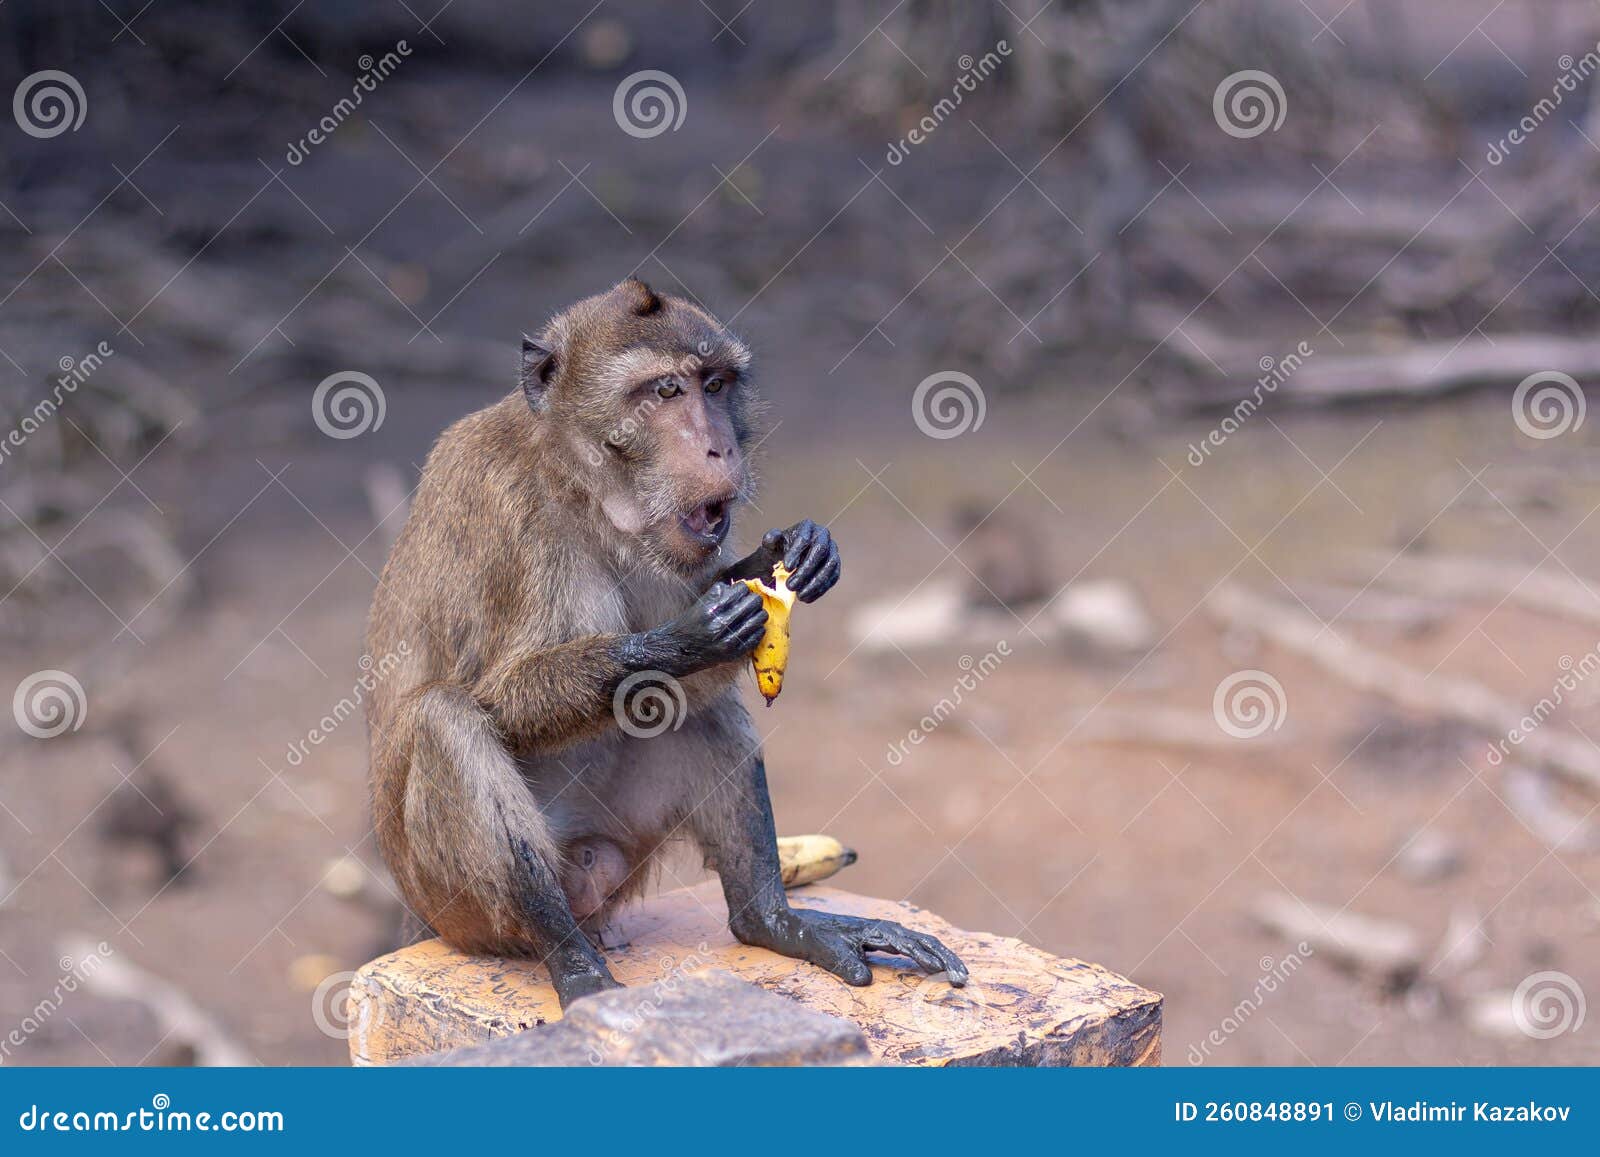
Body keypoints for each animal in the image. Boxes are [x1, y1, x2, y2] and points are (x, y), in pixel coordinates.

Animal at [365, 278, 967, 1008]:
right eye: (665, 391)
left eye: (715, 384)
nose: (719, 449)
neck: (583, 484)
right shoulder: (508, 514)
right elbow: (501, 697)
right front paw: (683, 640)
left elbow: (699, 675)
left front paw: (790, 551)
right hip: (458, 910)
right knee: (444, 718)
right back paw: (575, 968)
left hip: (620, 848)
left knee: (700, 715)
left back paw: (772, 920)